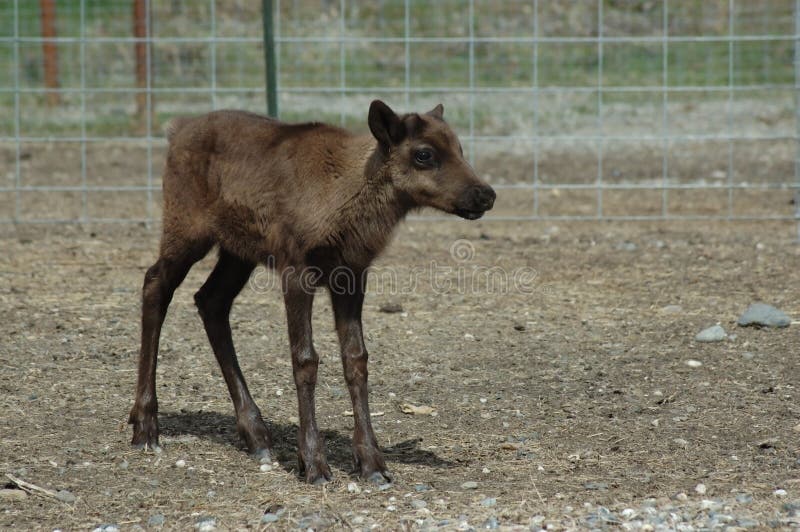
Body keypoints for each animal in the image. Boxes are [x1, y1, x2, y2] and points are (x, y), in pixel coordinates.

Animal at [127, 100, 496, 484]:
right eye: (424, 153)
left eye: (459, 148)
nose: (485, 194)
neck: (348, 199)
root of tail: (176, 130)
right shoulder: (296, 269)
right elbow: (305, 359)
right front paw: (313, 462)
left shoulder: (352, 275)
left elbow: (356, 358)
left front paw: (371, 462)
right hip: (185, 228)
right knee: (155, 284)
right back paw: (146, 426)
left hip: (238, 251)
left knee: (211, 300)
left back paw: (256, 434)